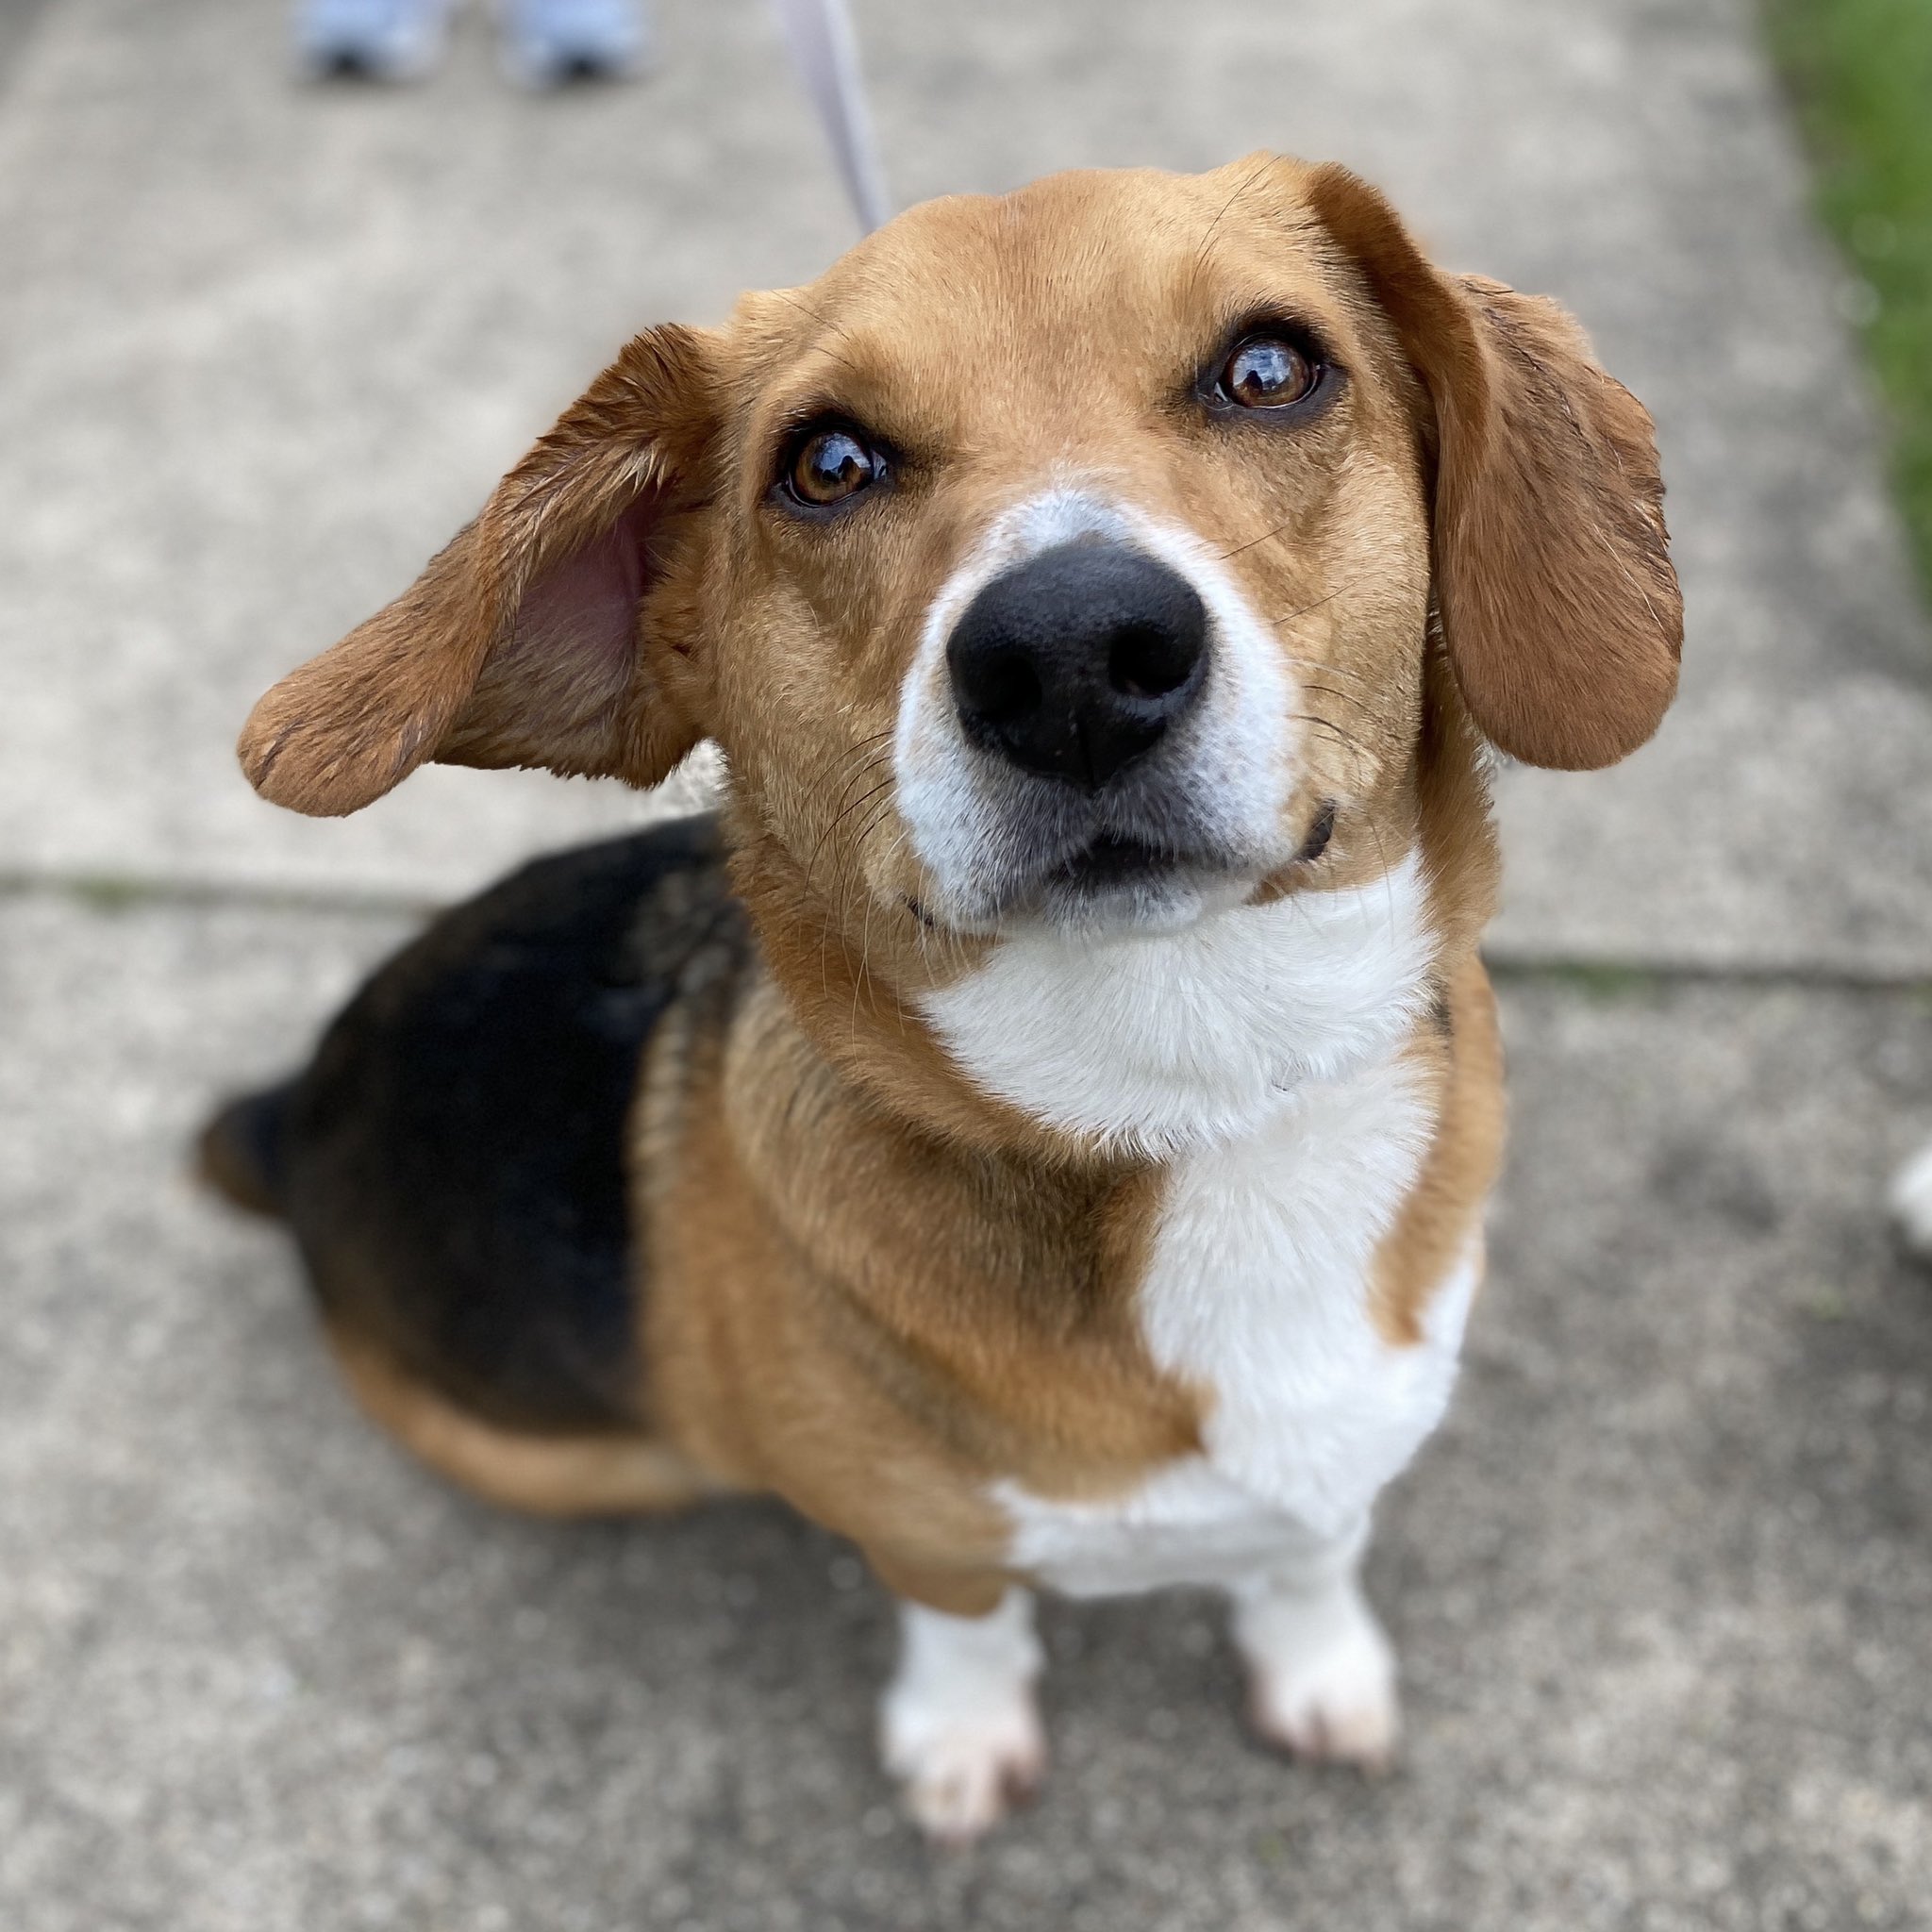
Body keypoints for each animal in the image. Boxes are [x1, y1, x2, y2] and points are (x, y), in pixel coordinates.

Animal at [195, 150, 1676, 1839]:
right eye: (828, 464)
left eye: (1269, 369)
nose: (1075, 652)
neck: (1195, 1091)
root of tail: (292, 1109)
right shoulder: (924, 1537)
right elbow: (971, 1621)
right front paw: (964, 1739)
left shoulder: (1346, 1448)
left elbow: (1309, 1554)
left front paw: (1319, 1669)